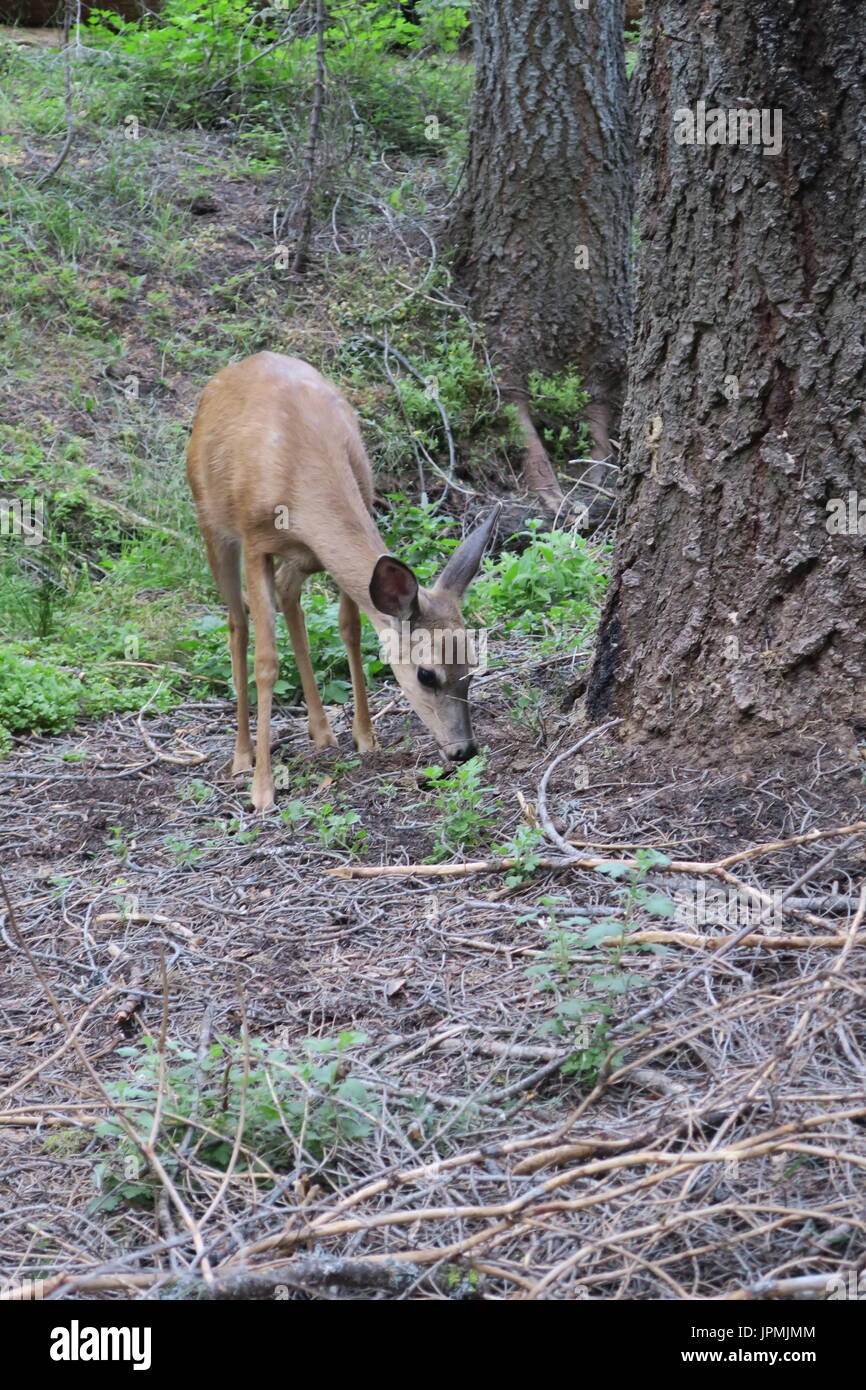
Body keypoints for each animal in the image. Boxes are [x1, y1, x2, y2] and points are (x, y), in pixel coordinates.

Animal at [186, 352, 500, 812]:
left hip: (305, 558)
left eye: (472, 665)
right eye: (426, 675)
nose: (463, 750)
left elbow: (351, 631)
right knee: (237, 622)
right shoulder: (255, 541)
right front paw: (263, 789)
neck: (300, 474)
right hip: (213, 524)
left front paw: (365, 738)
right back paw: (243, 756)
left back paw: (321, 731)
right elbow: (267, 662)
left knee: (289, 597)